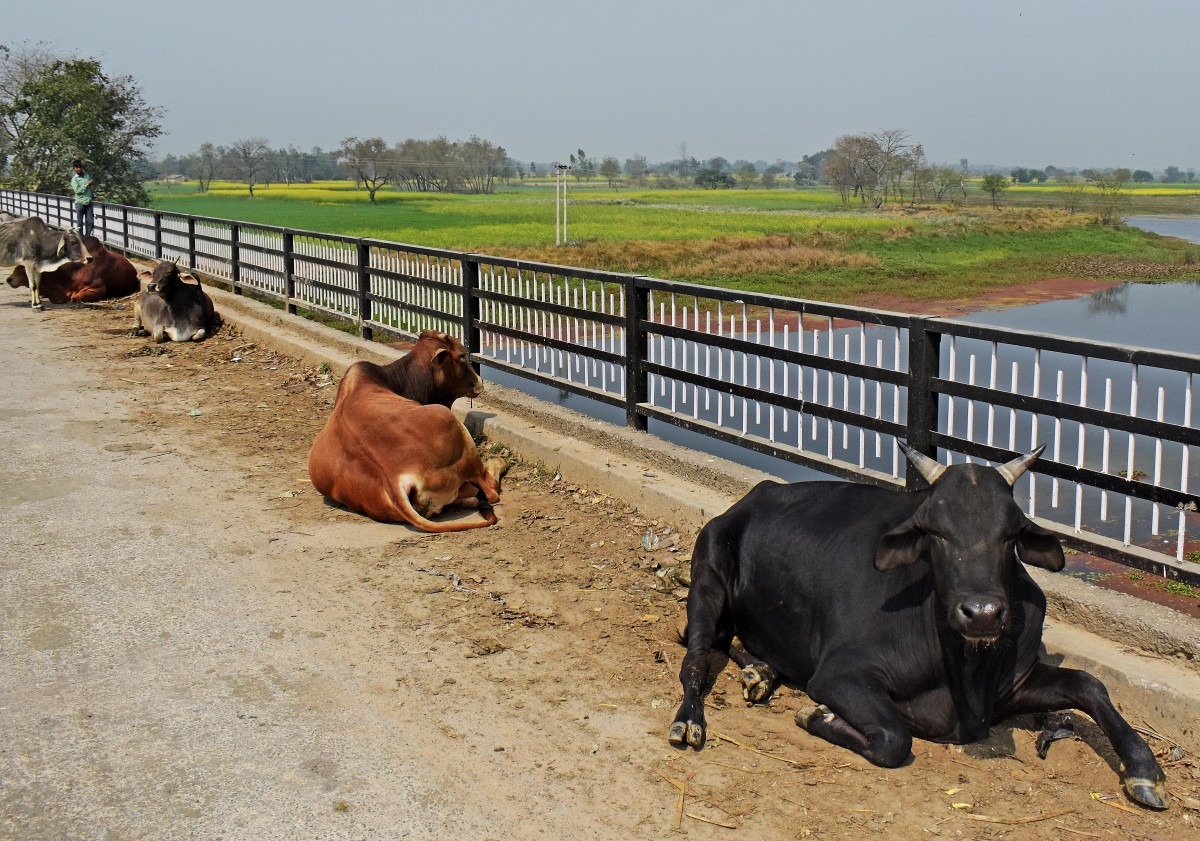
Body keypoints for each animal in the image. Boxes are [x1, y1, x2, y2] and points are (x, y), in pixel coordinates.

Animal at [307, 330, 508, 532]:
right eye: (461, 355)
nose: (480, 382)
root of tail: (394, 479)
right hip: (452, 425)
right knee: (489, 490)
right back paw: (499, 465)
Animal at [670, 443, 1168, 810]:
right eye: (934, 531)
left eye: (1011, 533)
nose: (981, 613)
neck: (963, 671)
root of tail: (755, 496)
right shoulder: (838, 674)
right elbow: (894, 737)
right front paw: (817, 714)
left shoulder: (1018, 680)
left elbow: (1090, 685)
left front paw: (1144, 769)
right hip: (707, 576)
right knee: (696, 656)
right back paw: (688, 719)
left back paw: (761, 672)